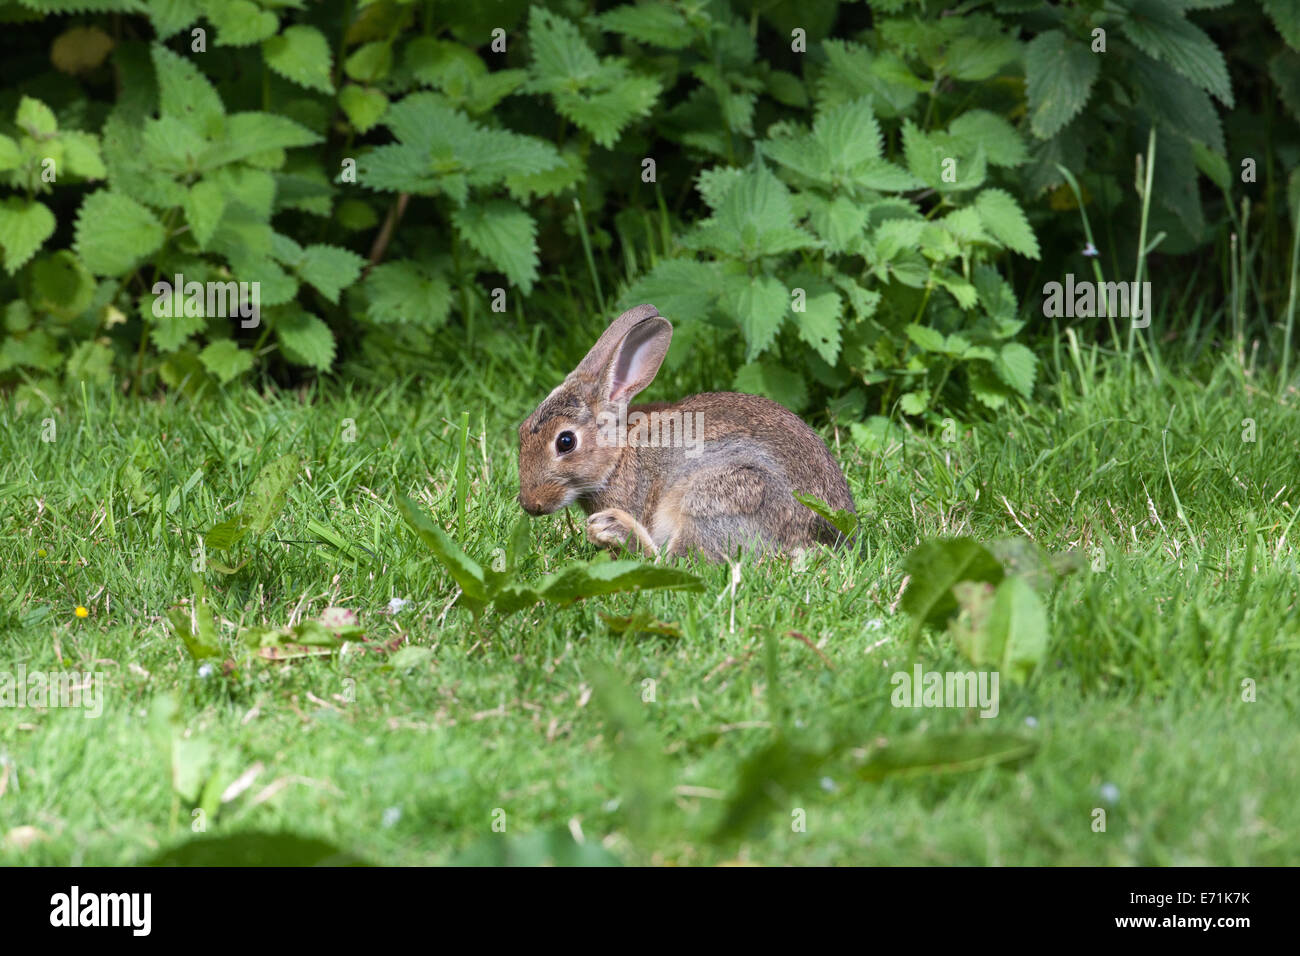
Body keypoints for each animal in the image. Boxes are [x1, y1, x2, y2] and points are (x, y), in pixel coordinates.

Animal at [517, 304, 856, 562]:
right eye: (521, 432)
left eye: (565, 442)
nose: (531, 504)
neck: (618, 456)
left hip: (719, 496)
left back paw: (612, 529)